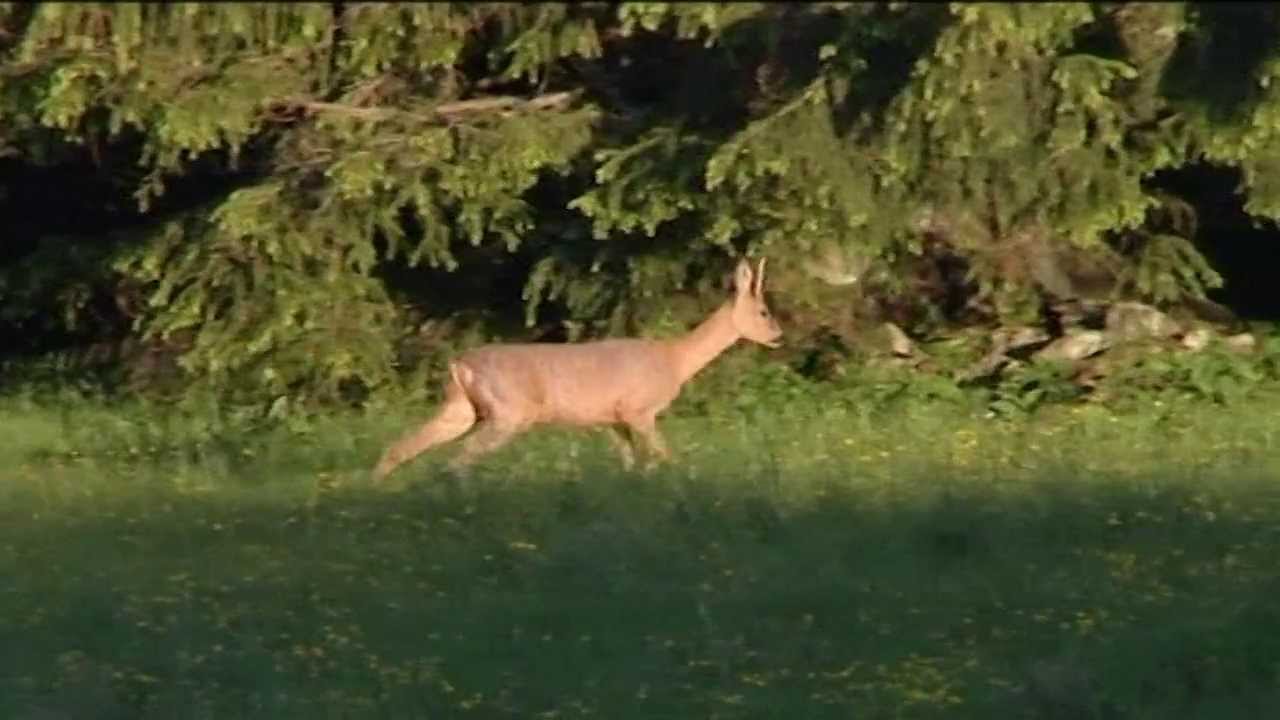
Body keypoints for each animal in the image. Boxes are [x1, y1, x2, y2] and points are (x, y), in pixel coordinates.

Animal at [371, 257, 783, 481]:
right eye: (764, 311)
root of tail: (460, 363)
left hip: (461, 407)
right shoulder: (638, 410)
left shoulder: (613, 420)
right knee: (460, 458)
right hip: (509, 411)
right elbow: (668, 457)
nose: (778, 335)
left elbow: (633, 466)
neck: (675, 360)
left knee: (403, 446)